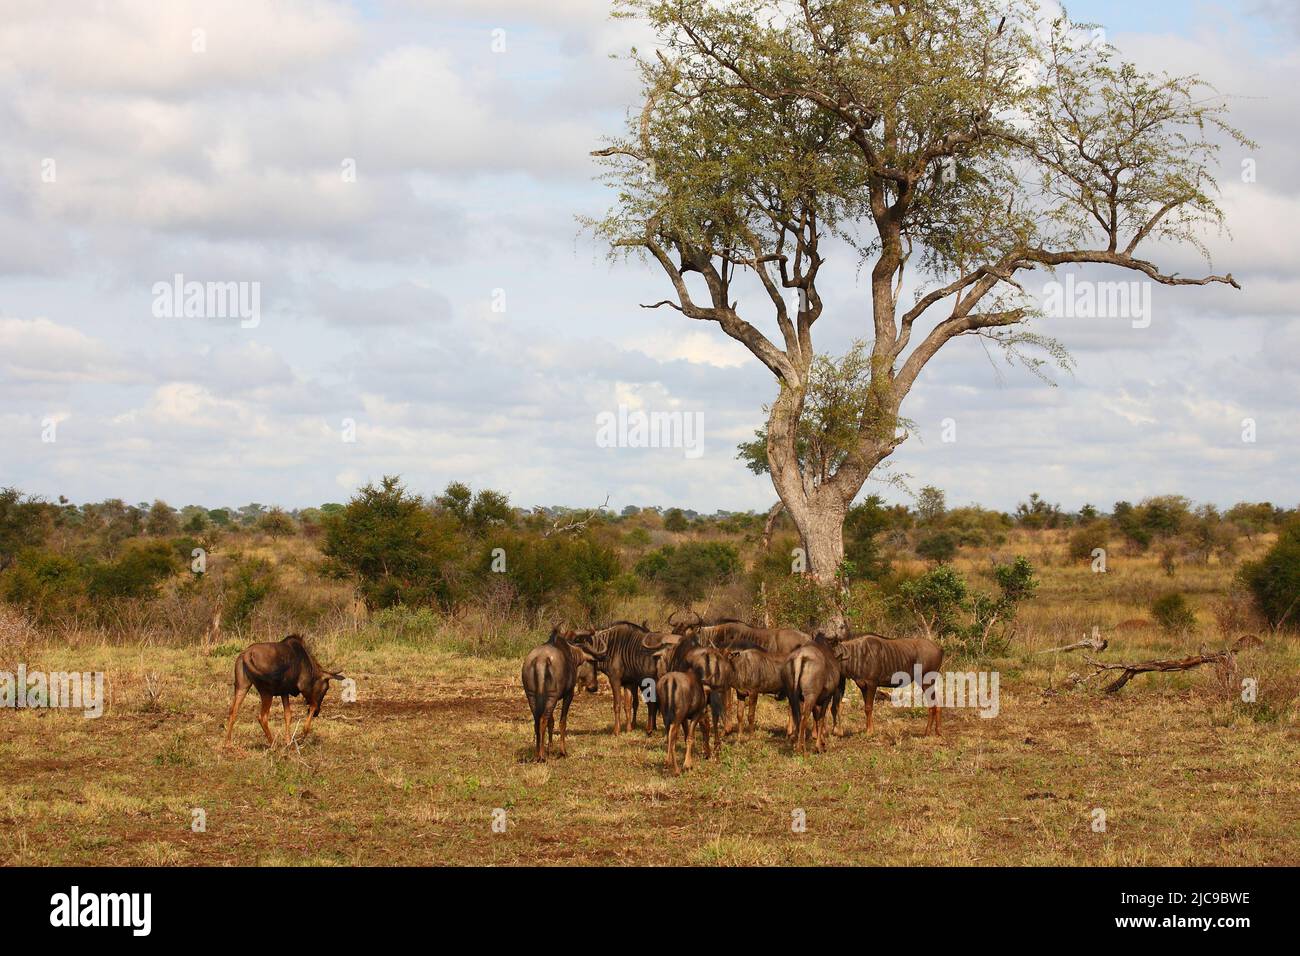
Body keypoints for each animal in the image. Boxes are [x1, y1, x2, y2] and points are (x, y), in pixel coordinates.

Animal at [521, 627, 603, 761]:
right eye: (593, 663)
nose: (594, 687)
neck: (570, 653)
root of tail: (540, 660)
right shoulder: (568, 694)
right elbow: (562, 722)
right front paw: (563, 751)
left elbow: (552, 722)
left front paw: (550, 749)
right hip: (552, 697)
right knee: (543, 719)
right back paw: (542, 756)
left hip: (532, 696)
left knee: (537, 720)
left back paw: (537, 754)